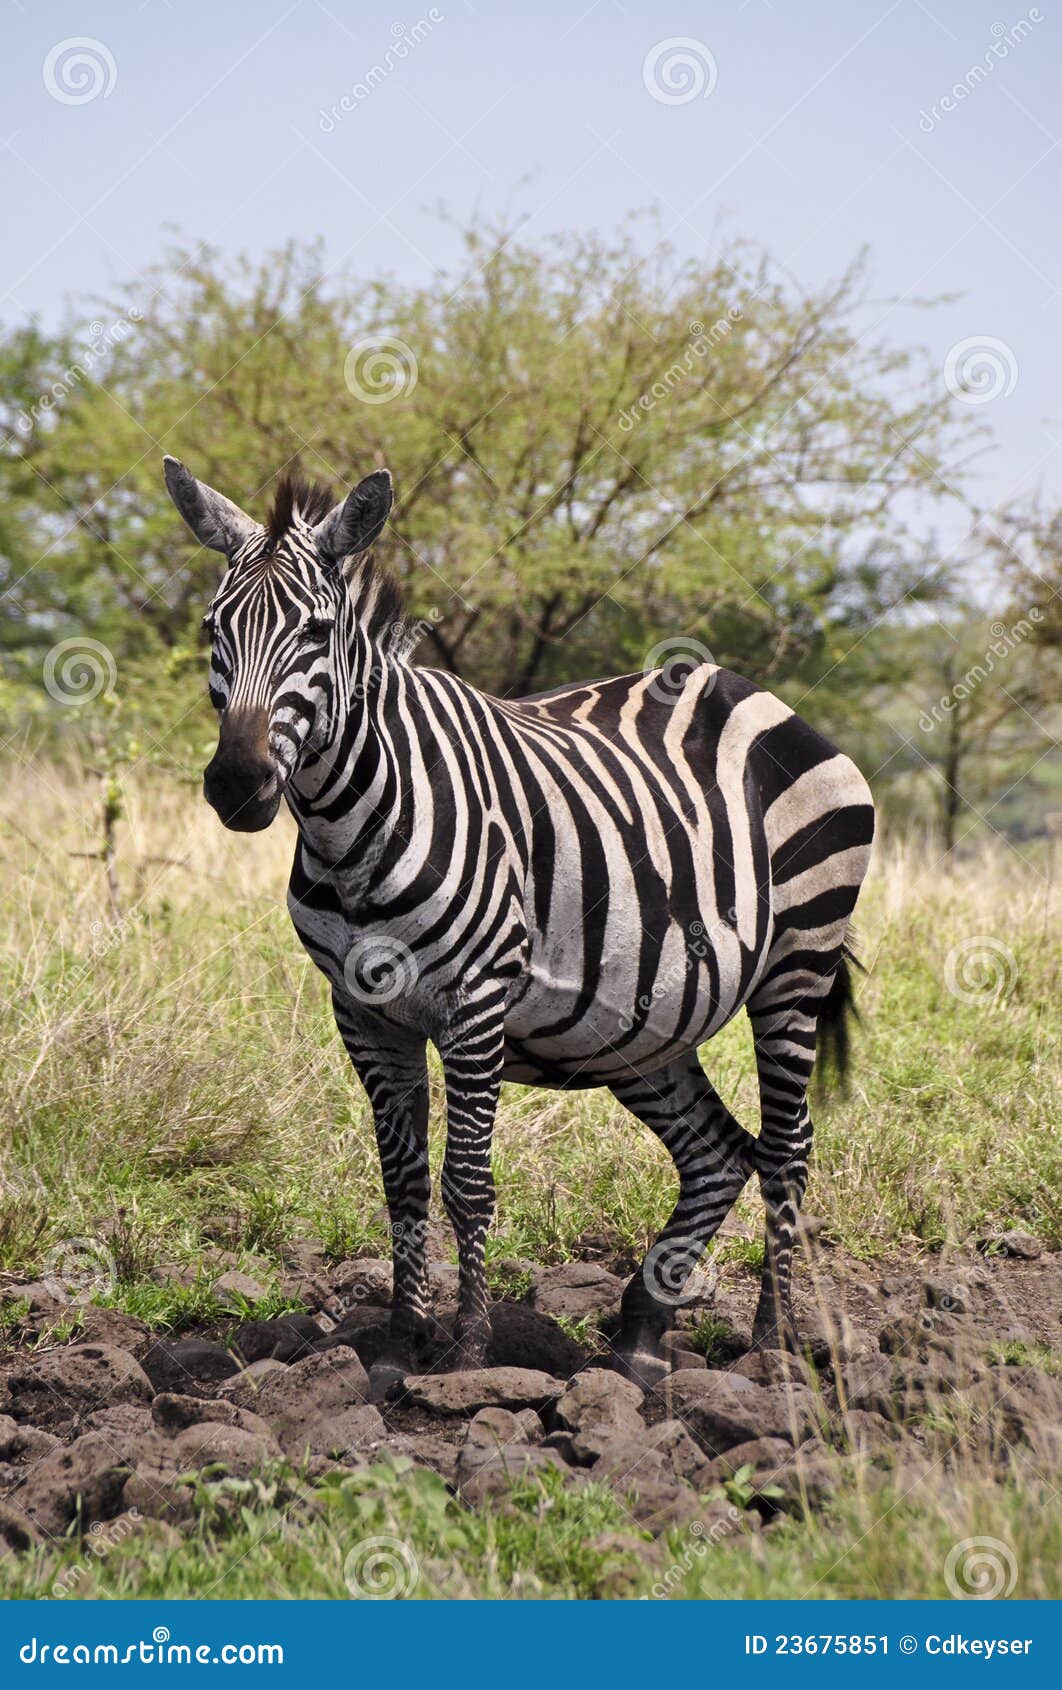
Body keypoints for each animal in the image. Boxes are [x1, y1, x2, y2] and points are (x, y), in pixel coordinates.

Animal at [164, 455, 875, 1392]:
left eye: (316, 634)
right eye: (215, 628)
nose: (237, 785)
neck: (350, 828)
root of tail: (746, 688)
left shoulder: (474, 1000)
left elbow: (467, 1182)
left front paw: (466, 1352)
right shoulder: (364, 1015)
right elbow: (402, 1182)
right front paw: (398, 1344)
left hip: (798, 962)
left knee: (788, 1146)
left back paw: (772, 1345)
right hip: (638, 1018)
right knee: (718, 1154)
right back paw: (642, 1332)